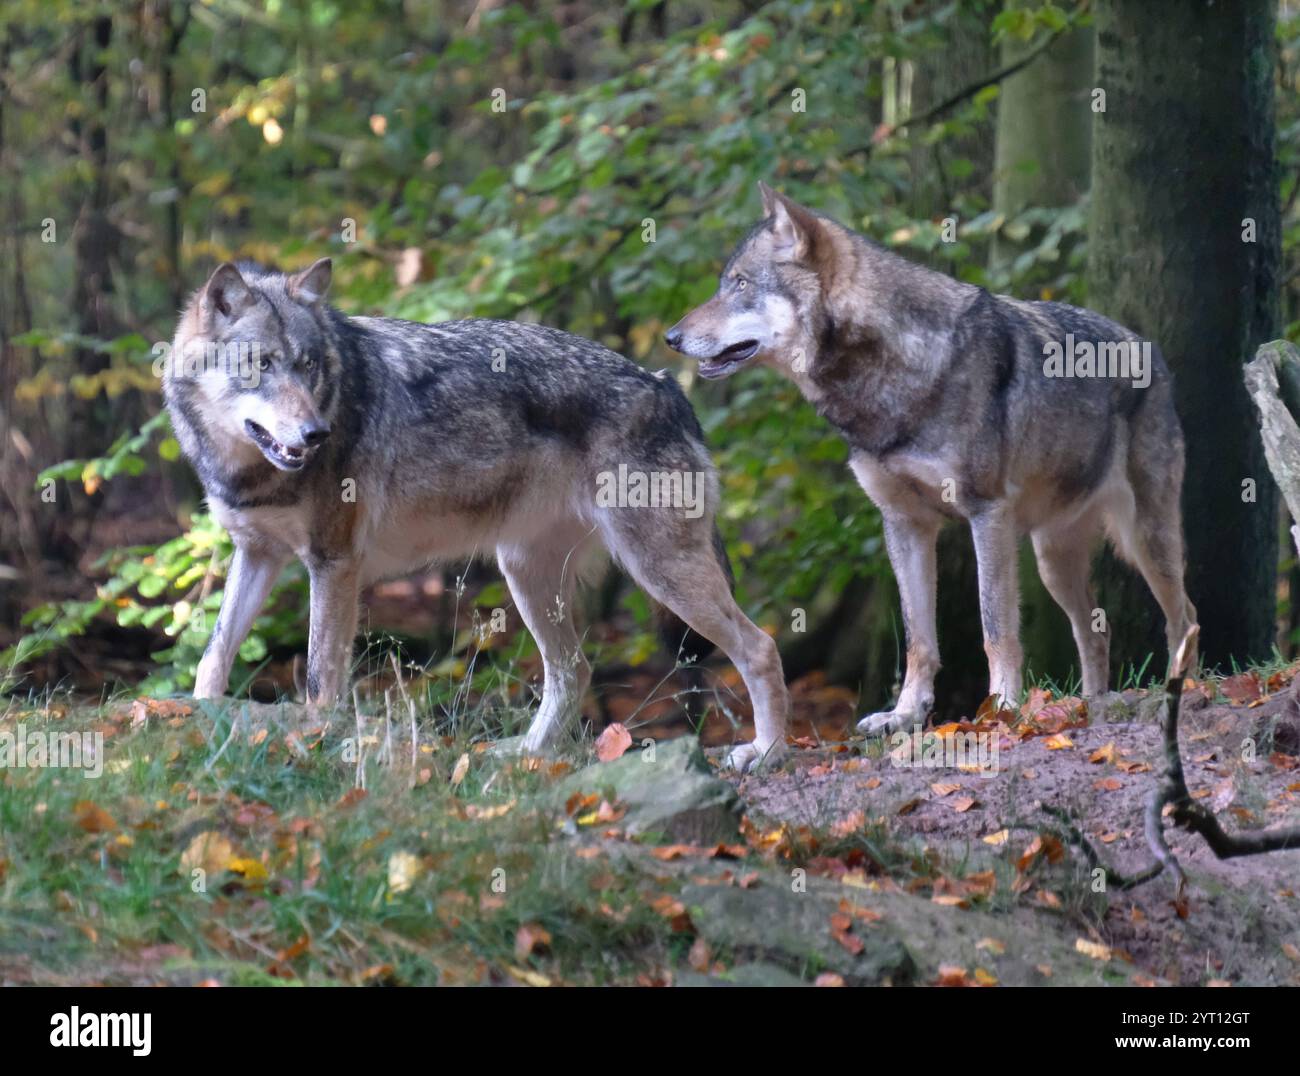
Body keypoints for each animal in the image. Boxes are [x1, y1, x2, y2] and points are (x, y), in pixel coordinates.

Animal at [163, 259, 788, 771]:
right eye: (262, 365)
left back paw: (765, 752)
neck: (247, 471)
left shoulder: (334, 562)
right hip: (528, 578)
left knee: (759, 646)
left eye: (309, 365)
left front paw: (312, 745)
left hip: (657, 571)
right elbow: (213, 655)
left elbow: (319, 679)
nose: (316, 433)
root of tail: (668, 388)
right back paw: (525, 755)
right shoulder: (257, 554)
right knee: (574, 672)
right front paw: (197, 722)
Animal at [666, 182, 1197, 735]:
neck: (892, 377)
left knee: (1186, 615)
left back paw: (1178, 692)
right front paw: (904, 715)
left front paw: (1001, 710)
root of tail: (1148, 348)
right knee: (1096, 631)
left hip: (1144, 540)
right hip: (1053, 560)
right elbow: (919, 638)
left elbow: (995, 628)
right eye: (726, 283)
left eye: (740, 283)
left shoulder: (986, 514)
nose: (671, 338)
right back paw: (1092, 704)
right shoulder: (904, 523)